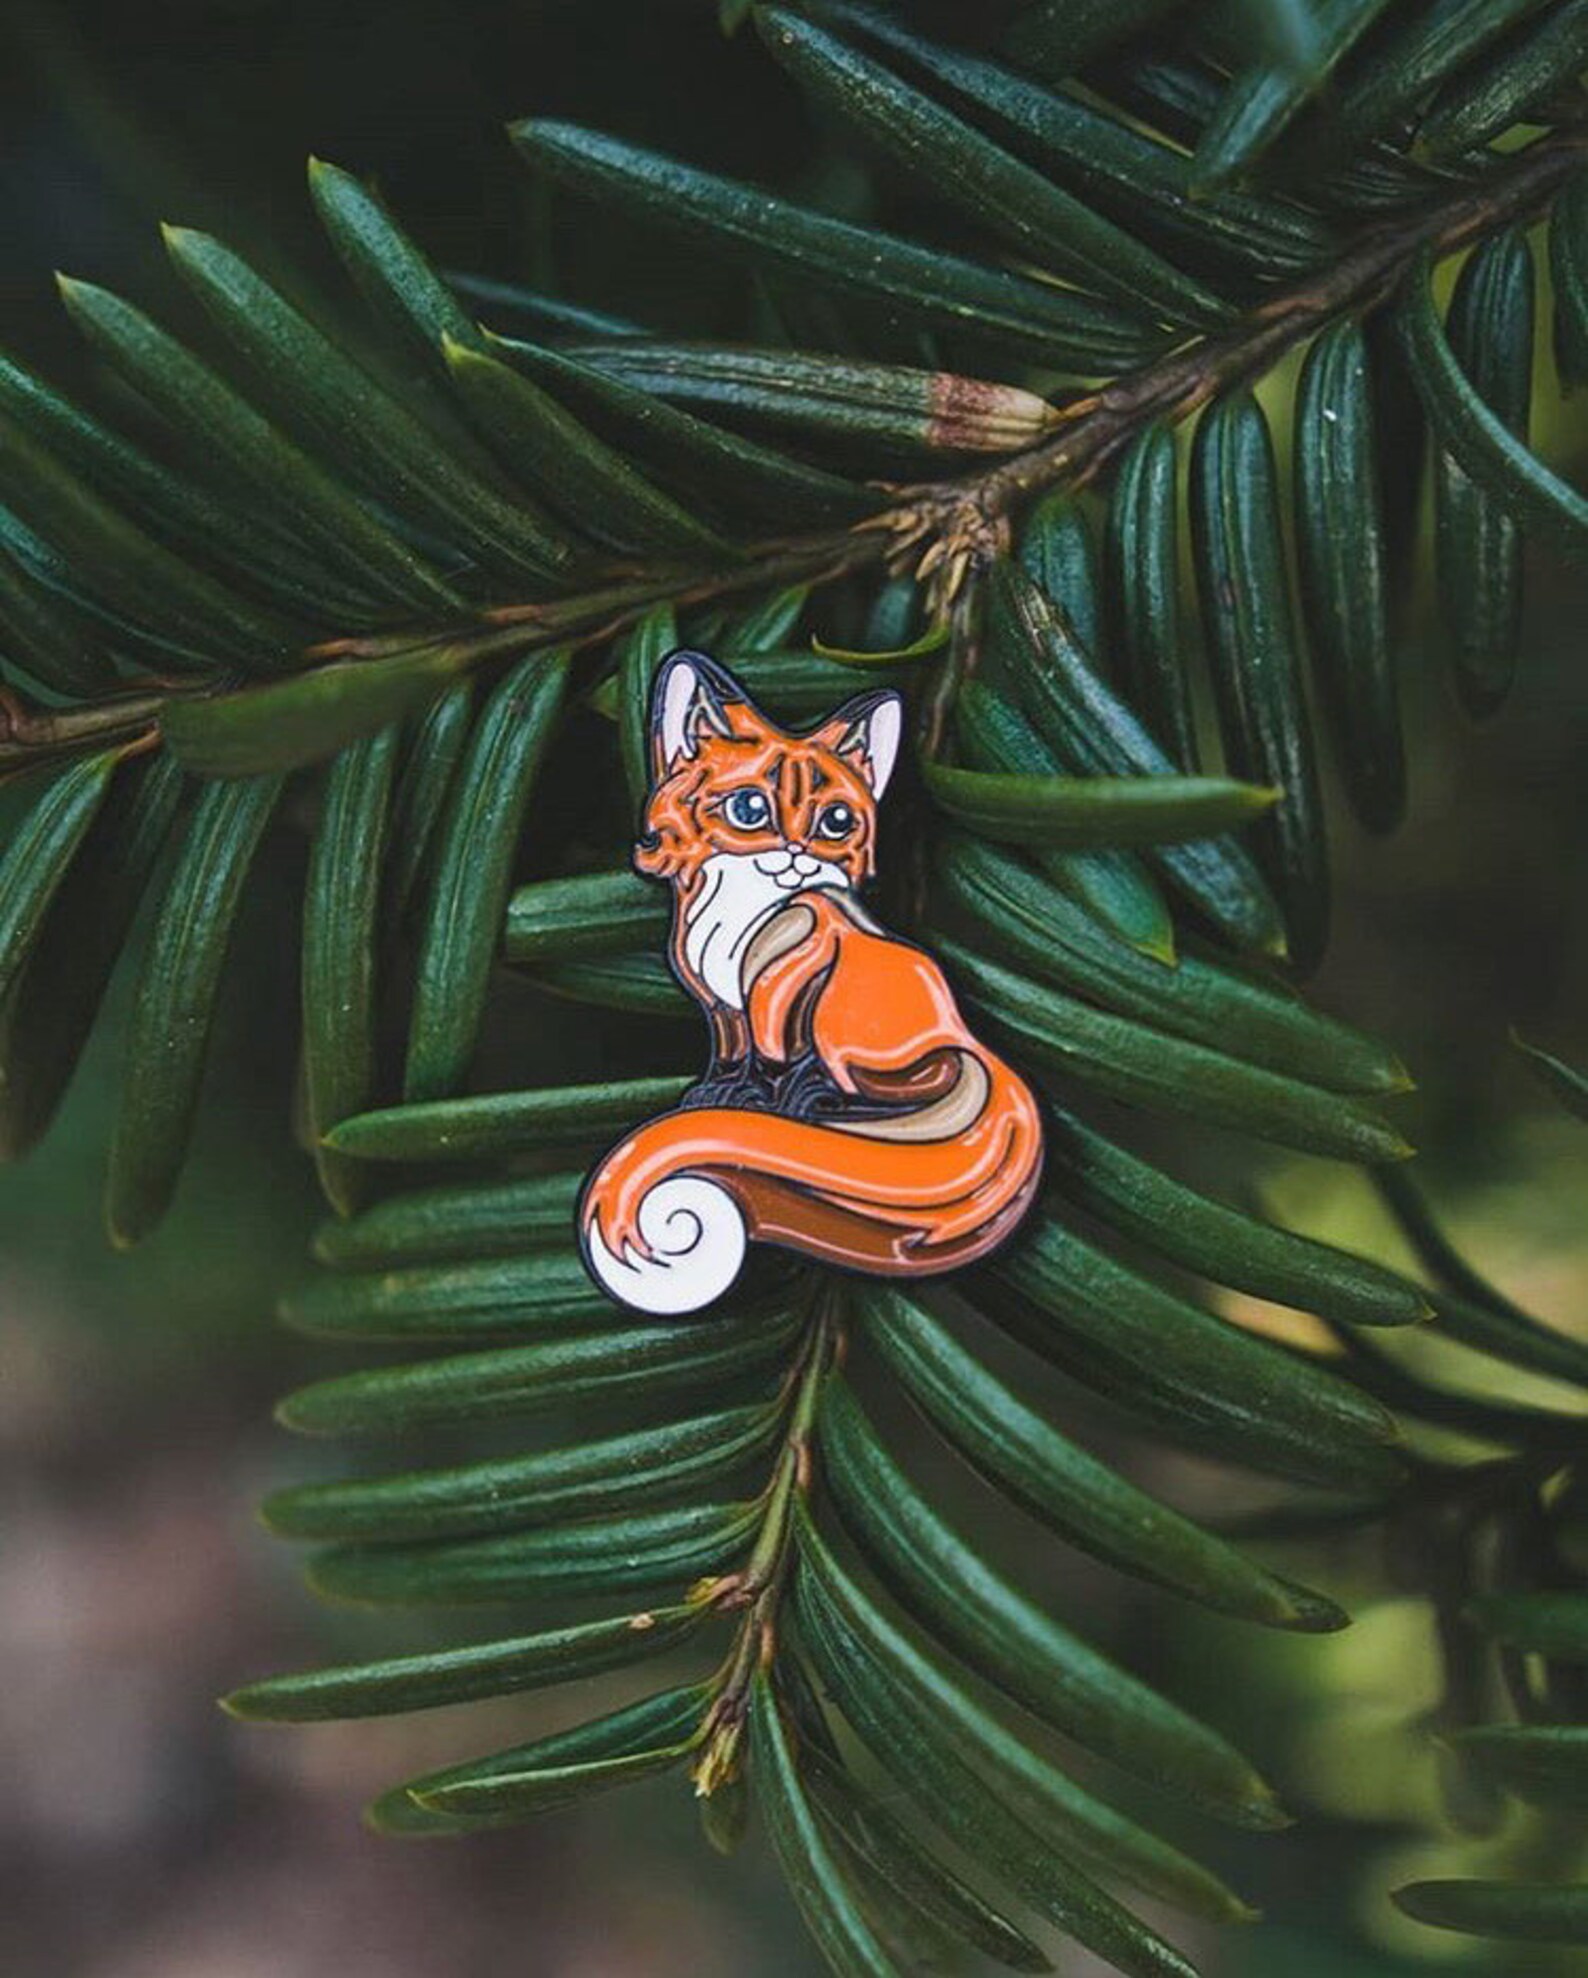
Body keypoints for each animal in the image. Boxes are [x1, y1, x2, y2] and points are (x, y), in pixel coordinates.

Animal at [578, 649, 1044, 1315]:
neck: (738, 913)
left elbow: (771, 1054)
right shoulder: (719, 1002)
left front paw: (762, 1101)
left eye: (837, 820)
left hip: (851, 1018)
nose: (798, 853)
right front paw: (717, 1094)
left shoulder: (788, 975)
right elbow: (732, 1055)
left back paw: (818, 1099)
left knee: (918, 1079)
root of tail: (978, 1048)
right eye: (751, 810)